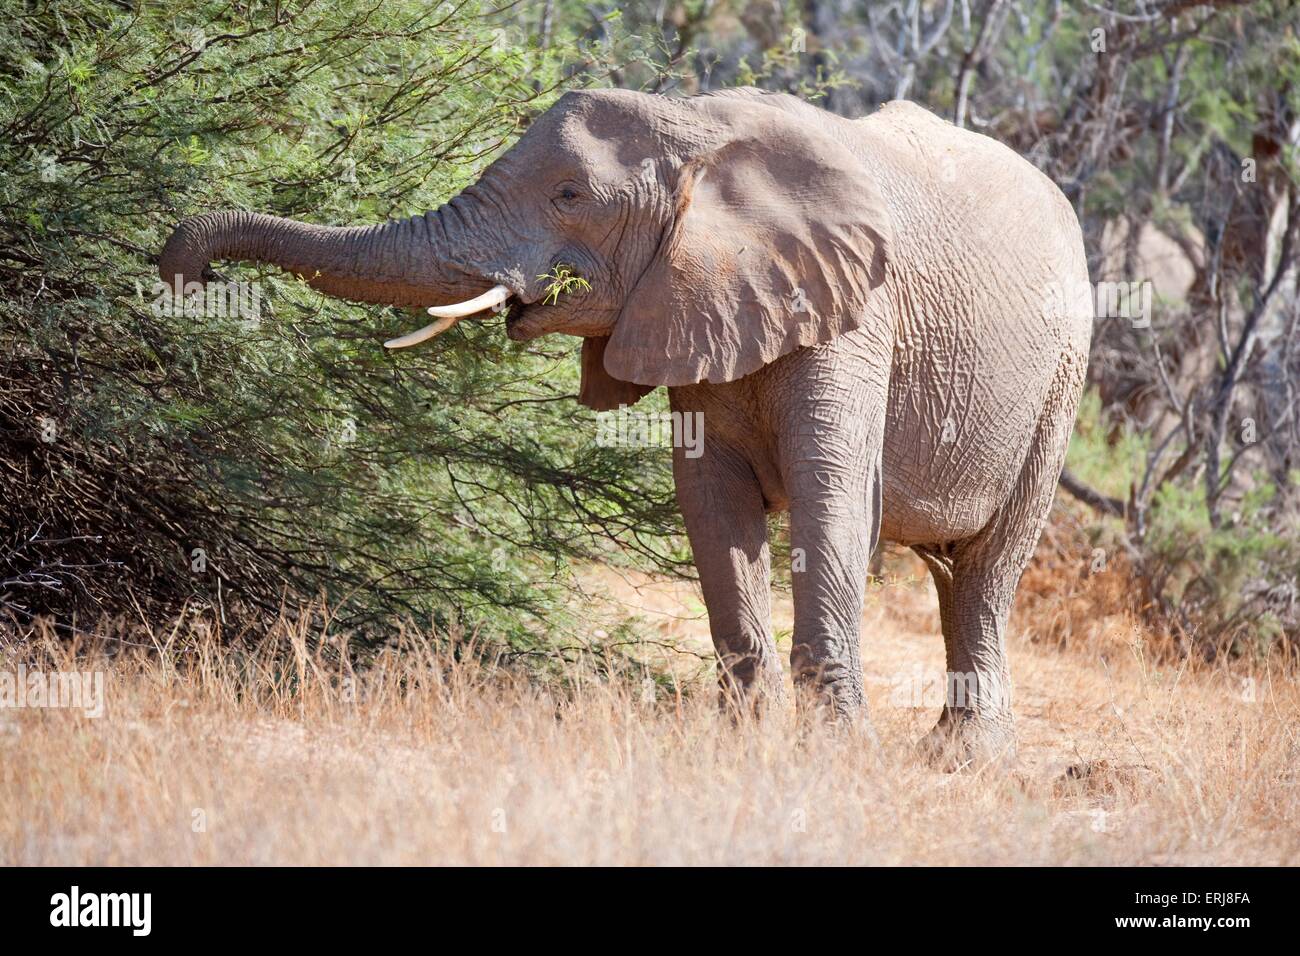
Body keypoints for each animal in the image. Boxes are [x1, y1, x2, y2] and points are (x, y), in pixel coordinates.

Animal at [159, 88, 1093, 767]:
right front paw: (747, 745)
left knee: (988, 566)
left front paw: (836, 756)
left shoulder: (858, 315)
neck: (699, 126)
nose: (188, 277)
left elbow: (831, 502)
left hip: (1064, 375)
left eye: (570, 195)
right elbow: (711, 505)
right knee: (954, 571)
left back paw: (966, 760)